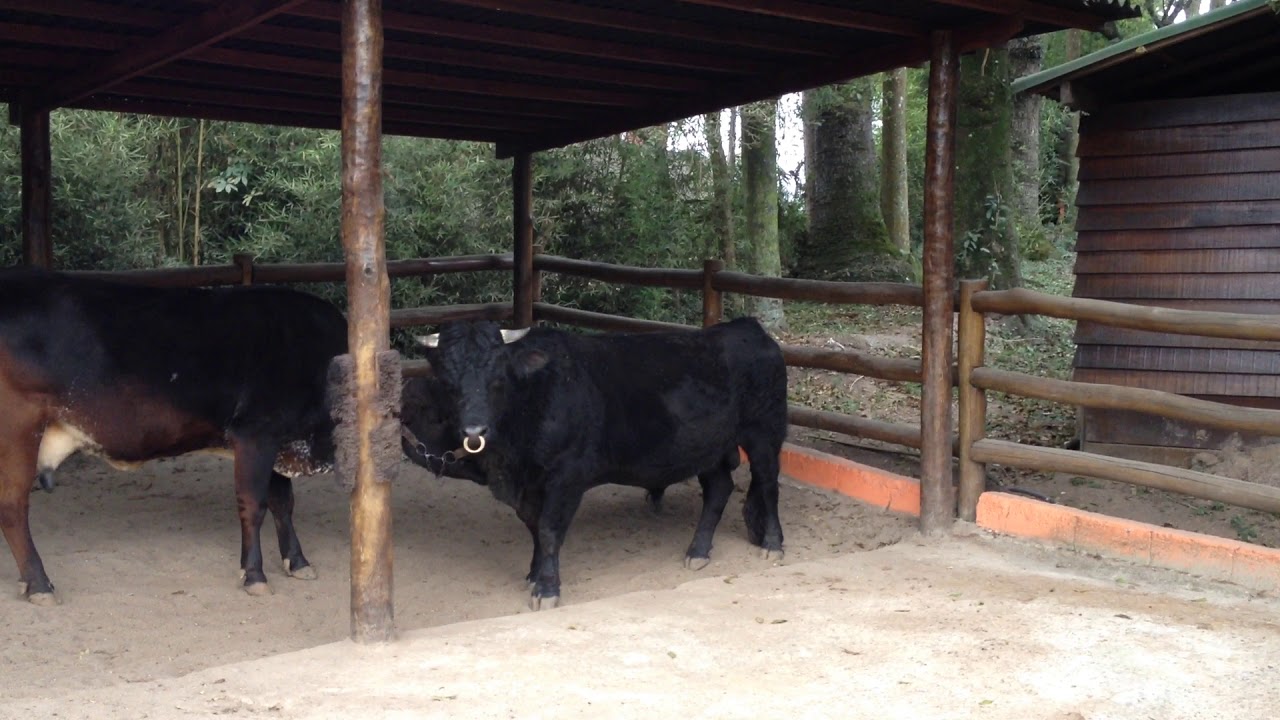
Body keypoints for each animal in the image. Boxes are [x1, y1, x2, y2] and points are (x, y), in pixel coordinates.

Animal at [0, 267, 348, 605]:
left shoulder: (280, 440)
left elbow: (283, 503)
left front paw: (298, 562)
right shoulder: (255, 434)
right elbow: (254, 505)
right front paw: (254, 576)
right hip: (19, 428)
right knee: (13, 505)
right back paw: (40, 584)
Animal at [409, 317, 788, 610]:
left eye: (497, 379)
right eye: (448, 382)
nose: (474, 431)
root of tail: (747, 326)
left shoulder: (566, 477)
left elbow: (548, 530)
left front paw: (547, 589)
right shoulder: (531, 484)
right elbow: (533, 526)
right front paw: (534, 574)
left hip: (764, 433)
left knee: (768, 485)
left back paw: (772, 544)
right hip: (706, 447)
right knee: (719, 489)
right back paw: (698, 551)